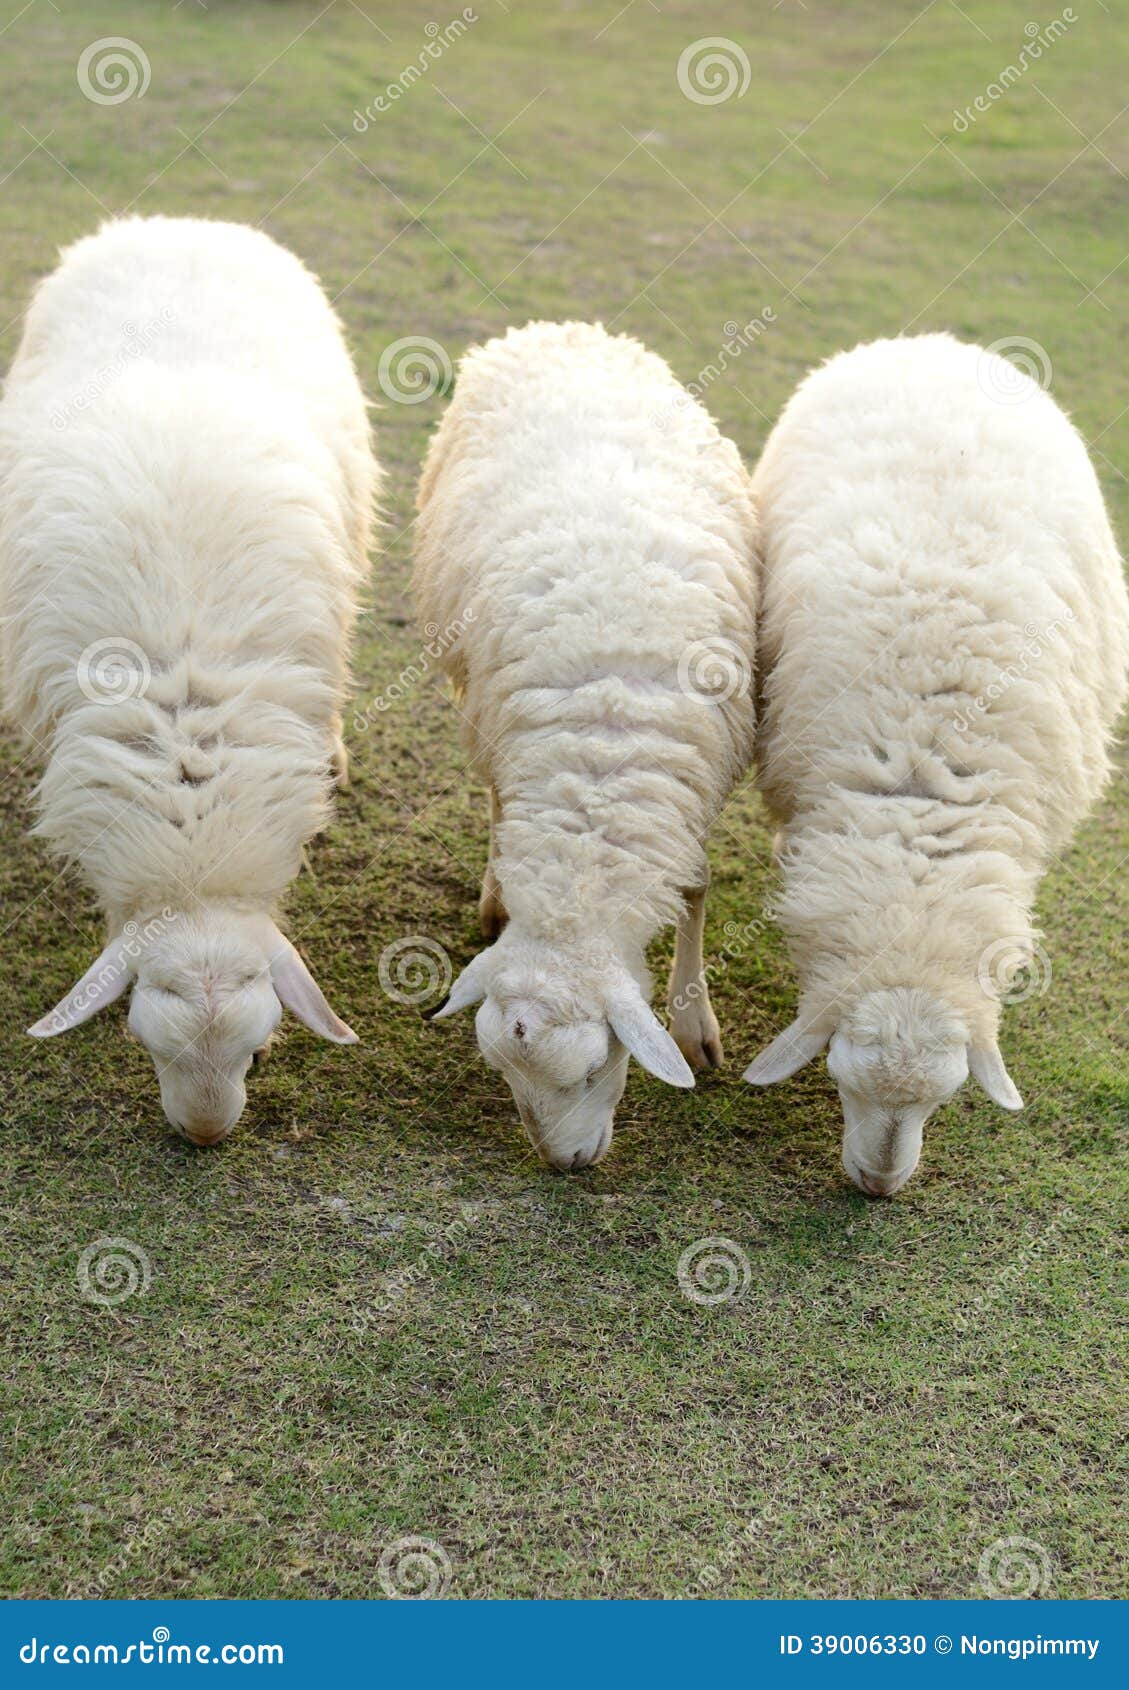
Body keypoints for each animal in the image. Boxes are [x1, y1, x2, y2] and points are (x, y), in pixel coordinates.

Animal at [413, 320, 758, 1170]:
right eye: (504, 1076)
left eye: (601, 1064)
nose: (565, 1164)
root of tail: (556, 329)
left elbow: (695, 887)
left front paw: (693, 1021)